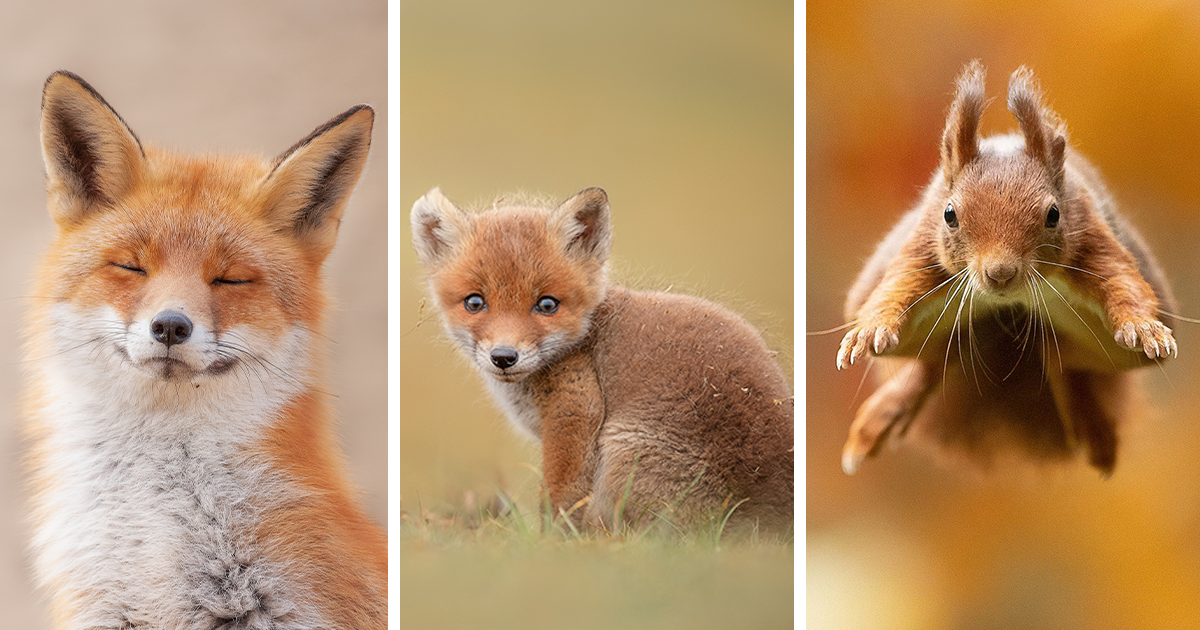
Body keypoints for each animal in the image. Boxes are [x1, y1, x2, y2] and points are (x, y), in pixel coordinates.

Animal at [410, 187, 794, 535]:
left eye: (547, 305)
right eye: (475, 302)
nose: (503, 357)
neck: (585, 338)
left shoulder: (576, 411)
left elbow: (560, 498)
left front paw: (551, 545)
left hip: (623, 451)